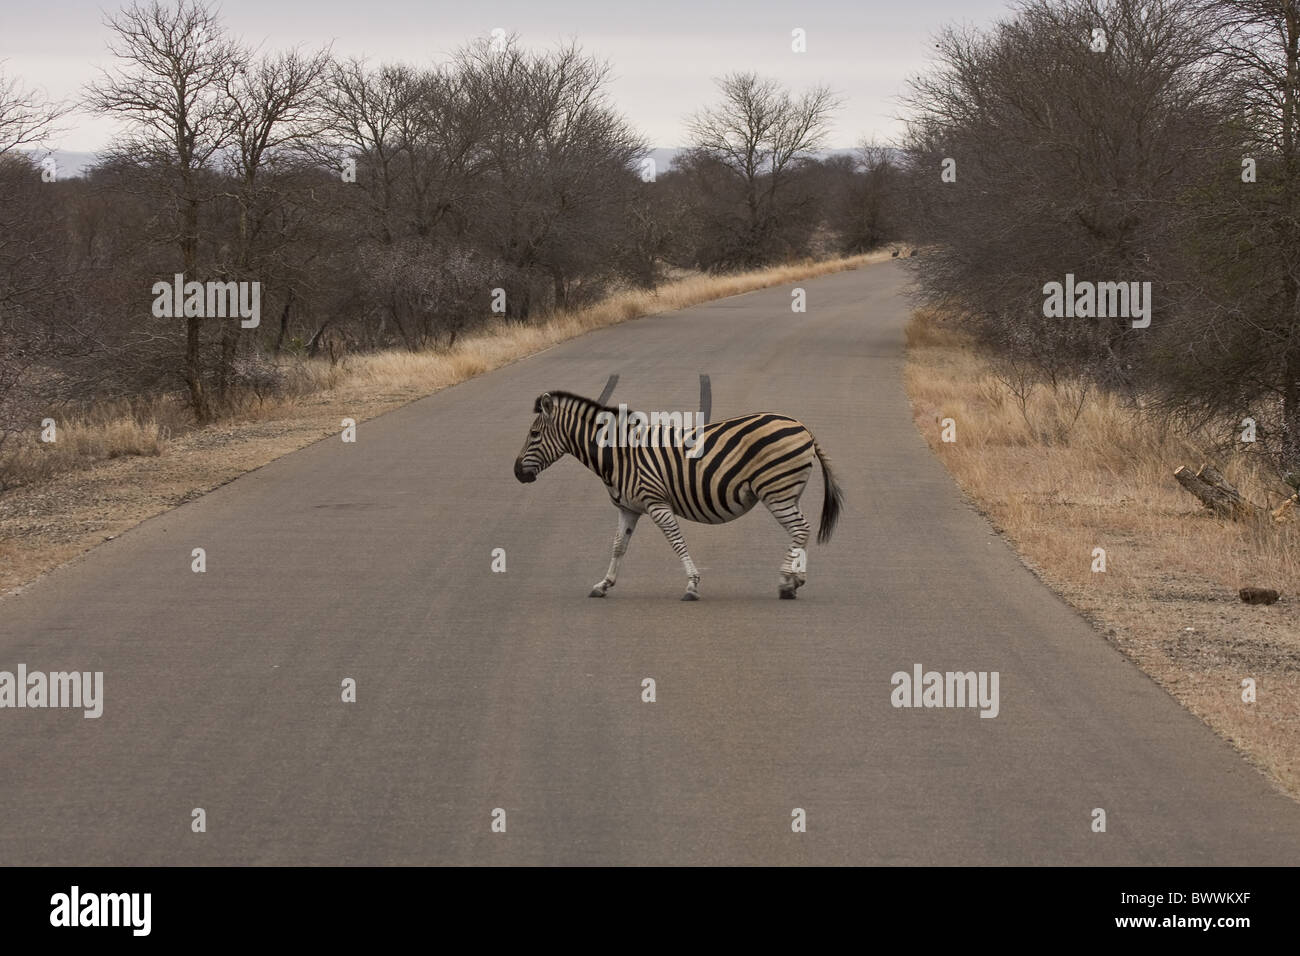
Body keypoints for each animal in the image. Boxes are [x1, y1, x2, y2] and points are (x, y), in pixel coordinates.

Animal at [513, 390, 845, 600]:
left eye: (534, 435)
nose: (517, 472)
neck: (619, 456)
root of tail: (803, 427)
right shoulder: (628, 509)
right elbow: (619, 546)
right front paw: (604, 584)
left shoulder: (656, 502)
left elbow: (676, 541)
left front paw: (692, 586)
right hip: (788, 493)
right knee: (800, 530)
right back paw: (796, 579)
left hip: (777, 492)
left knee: (800, 528)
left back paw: (786, 582)